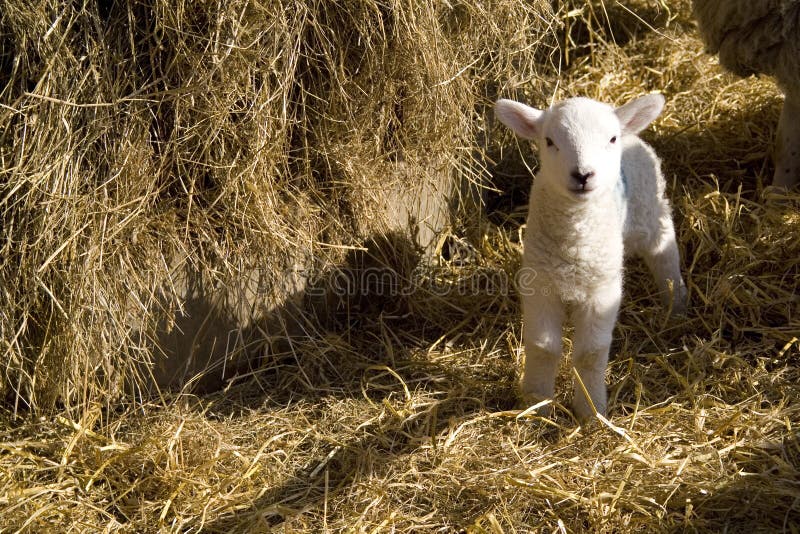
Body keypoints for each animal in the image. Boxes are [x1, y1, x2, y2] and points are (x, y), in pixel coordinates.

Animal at [495, 94, 687, 419]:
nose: (583, 174)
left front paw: (591, 411)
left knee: (665, 255)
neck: (575, 245)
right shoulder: (540, 286)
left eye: (610, 139)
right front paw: (536, 403)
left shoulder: (602, 292)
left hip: (651, 210)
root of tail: (630, 129)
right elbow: (543, 347)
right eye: (549, 141)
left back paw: (677, 304)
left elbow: (590, 354)